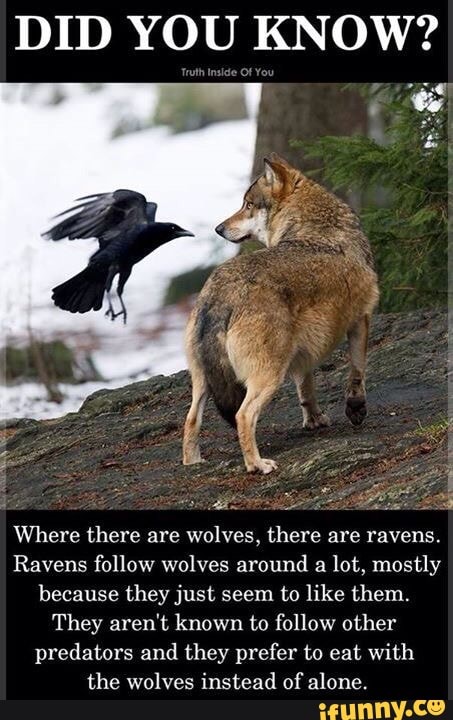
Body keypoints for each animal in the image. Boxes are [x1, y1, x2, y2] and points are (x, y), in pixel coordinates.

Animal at [183, 153, 379, 474]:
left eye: (248, 205)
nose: (218, 229)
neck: (314, 224)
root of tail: (220, 295)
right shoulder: (360, 319)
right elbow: (357, 372)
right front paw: (355, 409)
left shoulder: (303, 350)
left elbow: (306, 388)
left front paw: (314, 421)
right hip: (268, 377)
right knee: (243, 416)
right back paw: (257, 465)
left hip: (203, 382)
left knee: (190, 421)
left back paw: (193, 463)